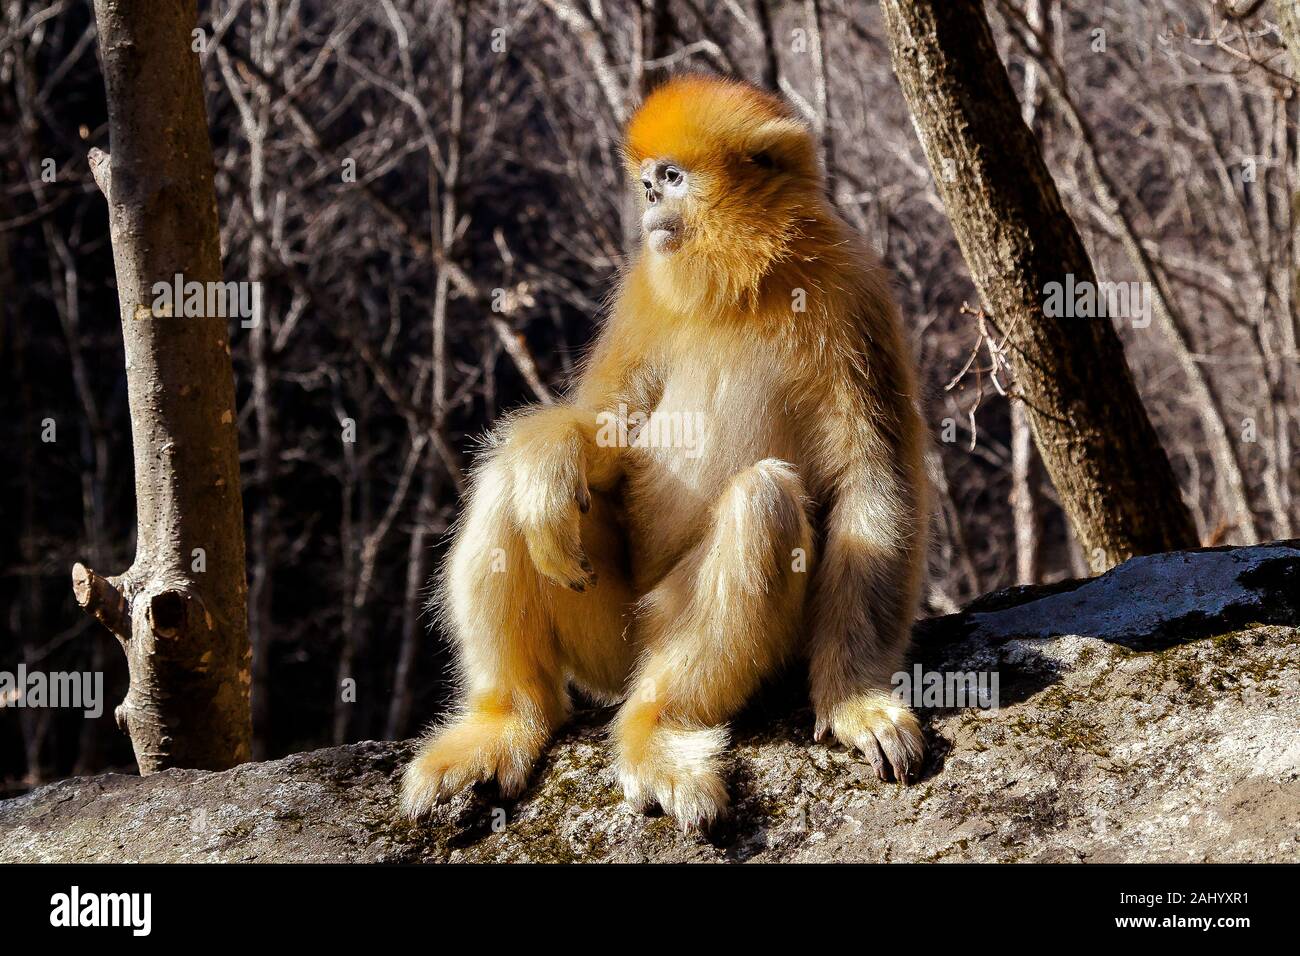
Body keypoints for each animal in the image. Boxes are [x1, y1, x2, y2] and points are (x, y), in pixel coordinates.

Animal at [401, 75, 929, 830]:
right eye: (647, 180)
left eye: (672, 178)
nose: (650, 196)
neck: (749, 282)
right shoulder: (645, 285)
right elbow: (606, 428)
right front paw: (555, 460)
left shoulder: (854, 294)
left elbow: (873, 487)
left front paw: (856, 699)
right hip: (606, 634)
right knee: (517, 483)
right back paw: (504, 718)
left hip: (657, 631)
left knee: (762, 501)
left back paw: (660, 729)